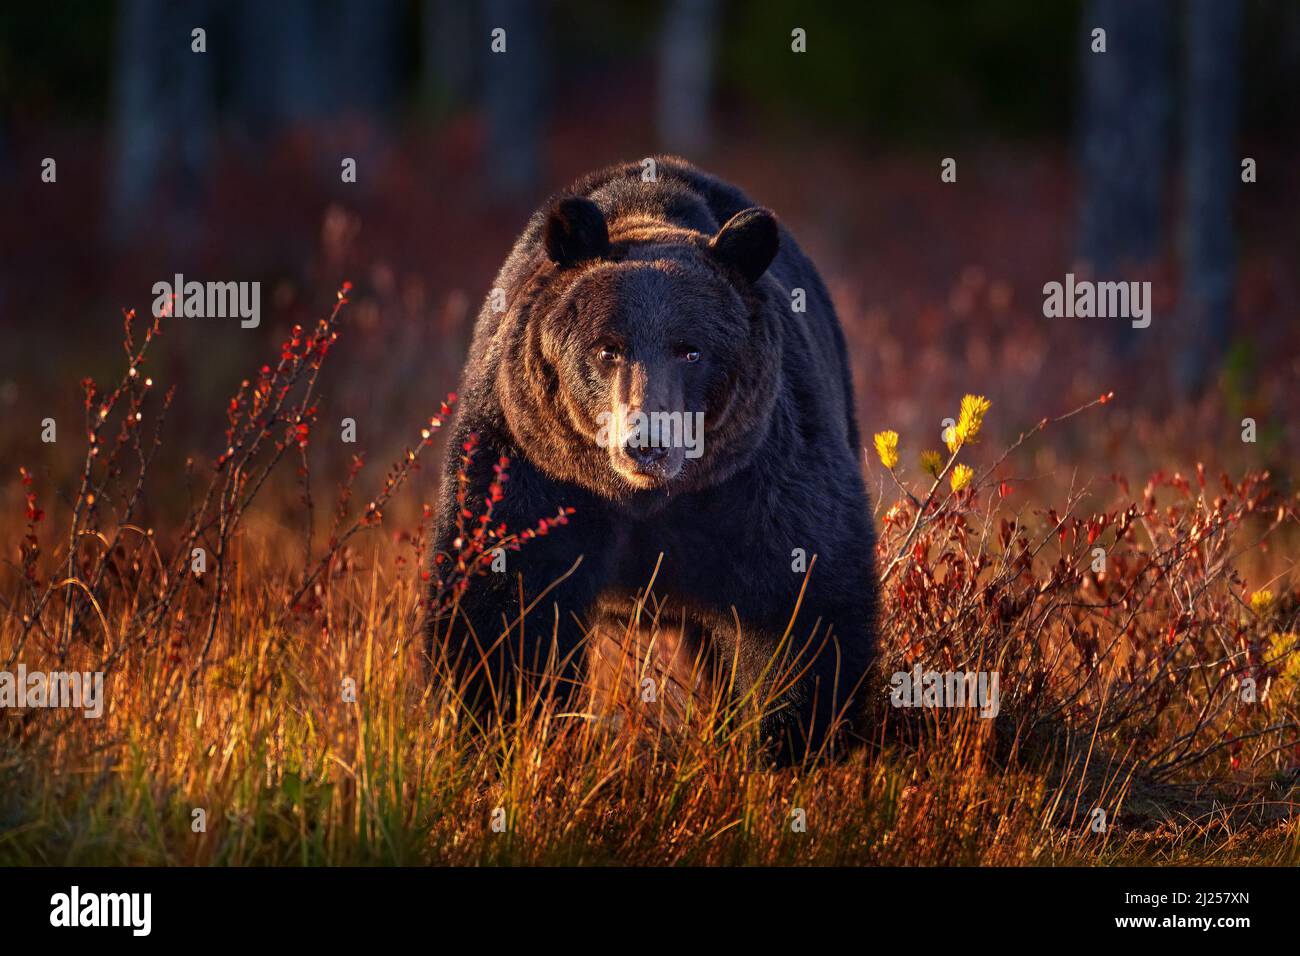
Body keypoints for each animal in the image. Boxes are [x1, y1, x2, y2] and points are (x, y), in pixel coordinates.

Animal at [426, 156, 878, 763]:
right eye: (606, 347)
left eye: (691, 350)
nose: (647, 440)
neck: (644, 500)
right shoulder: (530, 464)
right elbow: (500, 605)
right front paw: (493, 730)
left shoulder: (761, 476)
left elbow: (800, 602)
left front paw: (790, 739)